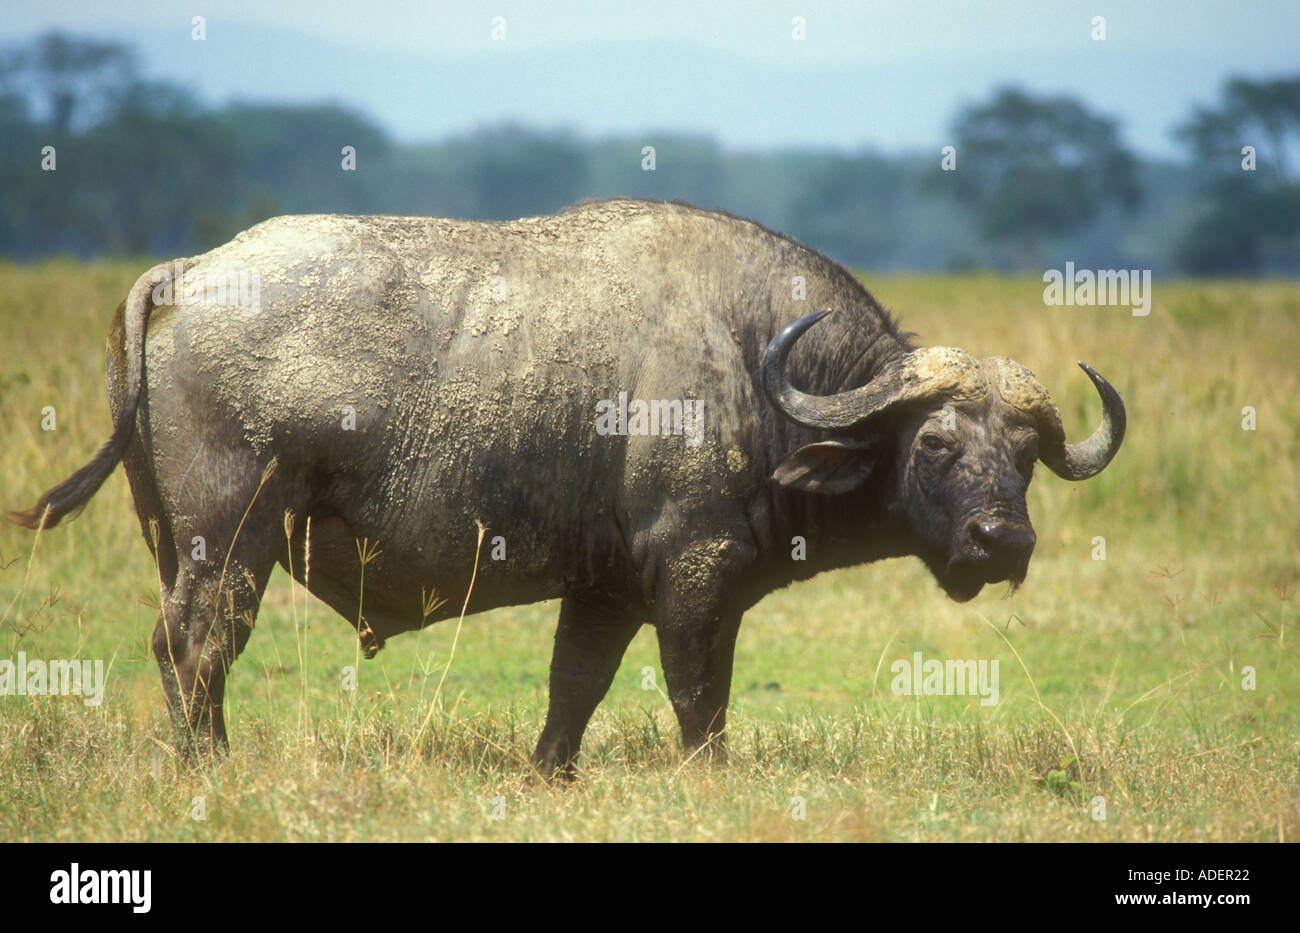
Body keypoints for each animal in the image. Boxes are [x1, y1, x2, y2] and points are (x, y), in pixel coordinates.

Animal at [12, 198, 1125, 775]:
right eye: (934, 444)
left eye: (1025, 455)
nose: (1003, 543)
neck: (754, 365)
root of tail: (185, 270)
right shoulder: (694, 580)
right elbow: (699, 700)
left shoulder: (606, 591)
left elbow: (573, 690)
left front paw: (550, 774)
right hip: (231, 539)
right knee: (201, 645)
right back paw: (213, 764)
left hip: (171, 538)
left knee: (174, 644)